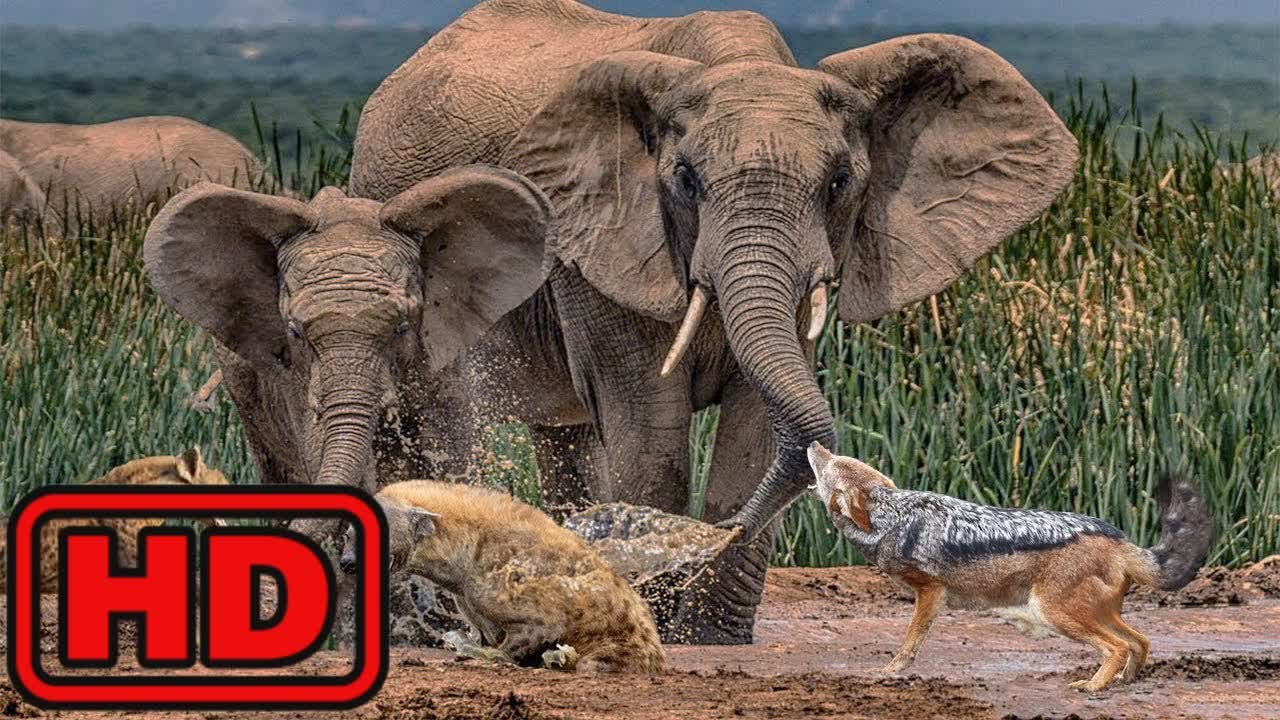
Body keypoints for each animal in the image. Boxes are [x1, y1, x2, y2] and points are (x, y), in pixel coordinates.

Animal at [349, 0, 1079, 644]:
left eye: (839, 182)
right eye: (687, 180)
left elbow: (755, 433)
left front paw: (714, 635)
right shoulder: (601, 242)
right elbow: (651, 433)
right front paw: (660, 616)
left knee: (567, 440)